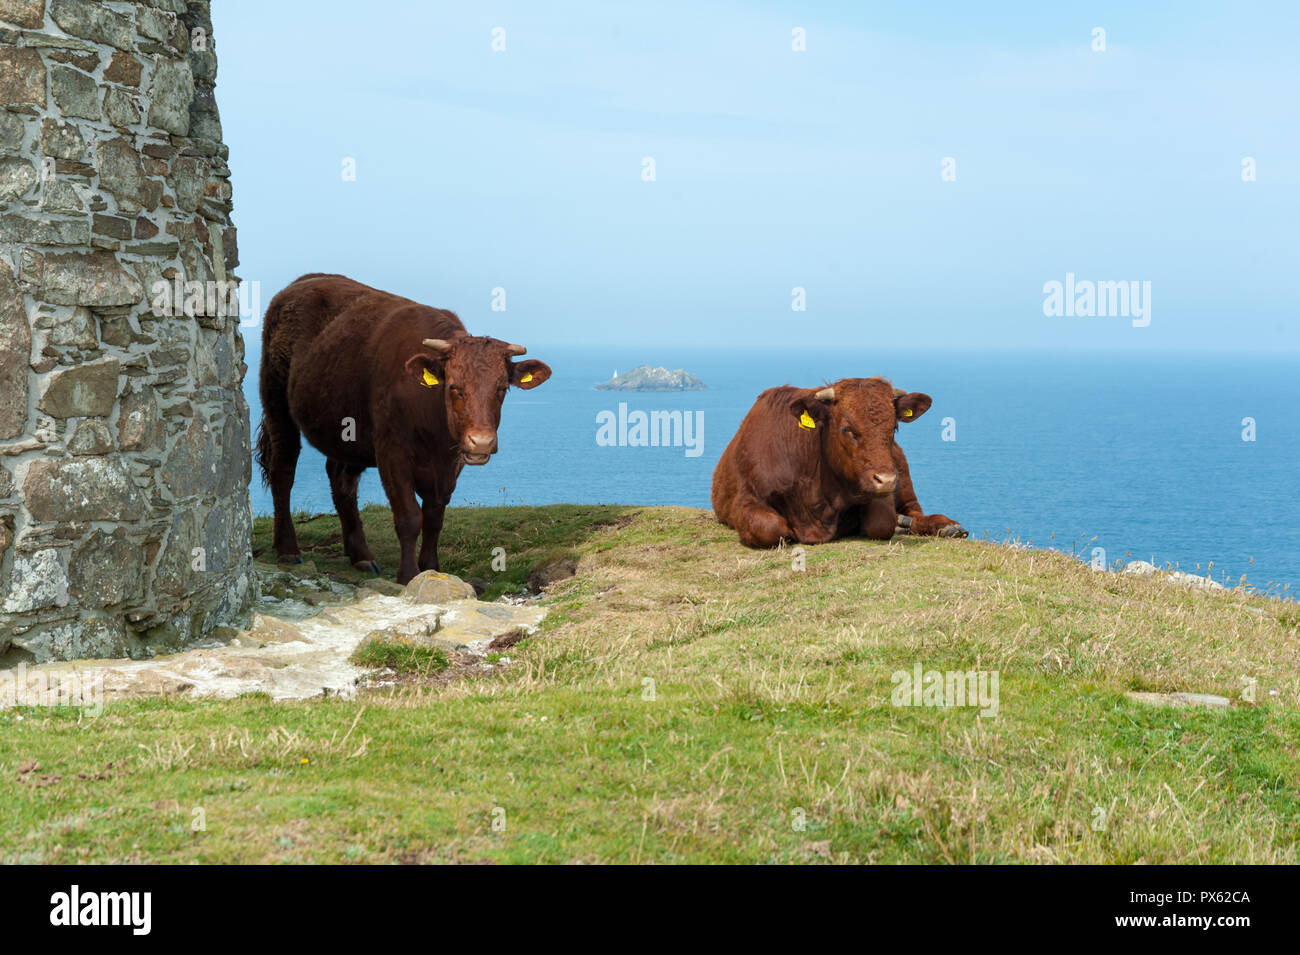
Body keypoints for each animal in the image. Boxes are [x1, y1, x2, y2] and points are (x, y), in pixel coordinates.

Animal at [256, 274, 551, 584]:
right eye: (453, 387)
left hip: (347, 427)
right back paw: (288, 549)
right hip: (277, 403)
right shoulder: (392, 453)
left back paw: (360, 555)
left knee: (341, 481)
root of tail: (304, 281)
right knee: (283, 472)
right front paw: (408, 574)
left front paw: (431, 567)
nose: (481, 441)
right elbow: (409, 516)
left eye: (502, 388)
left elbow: (434, 516)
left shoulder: (449, 463)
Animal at [711, 376, 966, 548]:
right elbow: (770, 528)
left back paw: (946, 526)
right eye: (847, 429)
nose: (886, 480)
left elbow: (882, 522)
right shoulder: (745, 500)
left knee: (914, 511)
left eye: (894, 427)